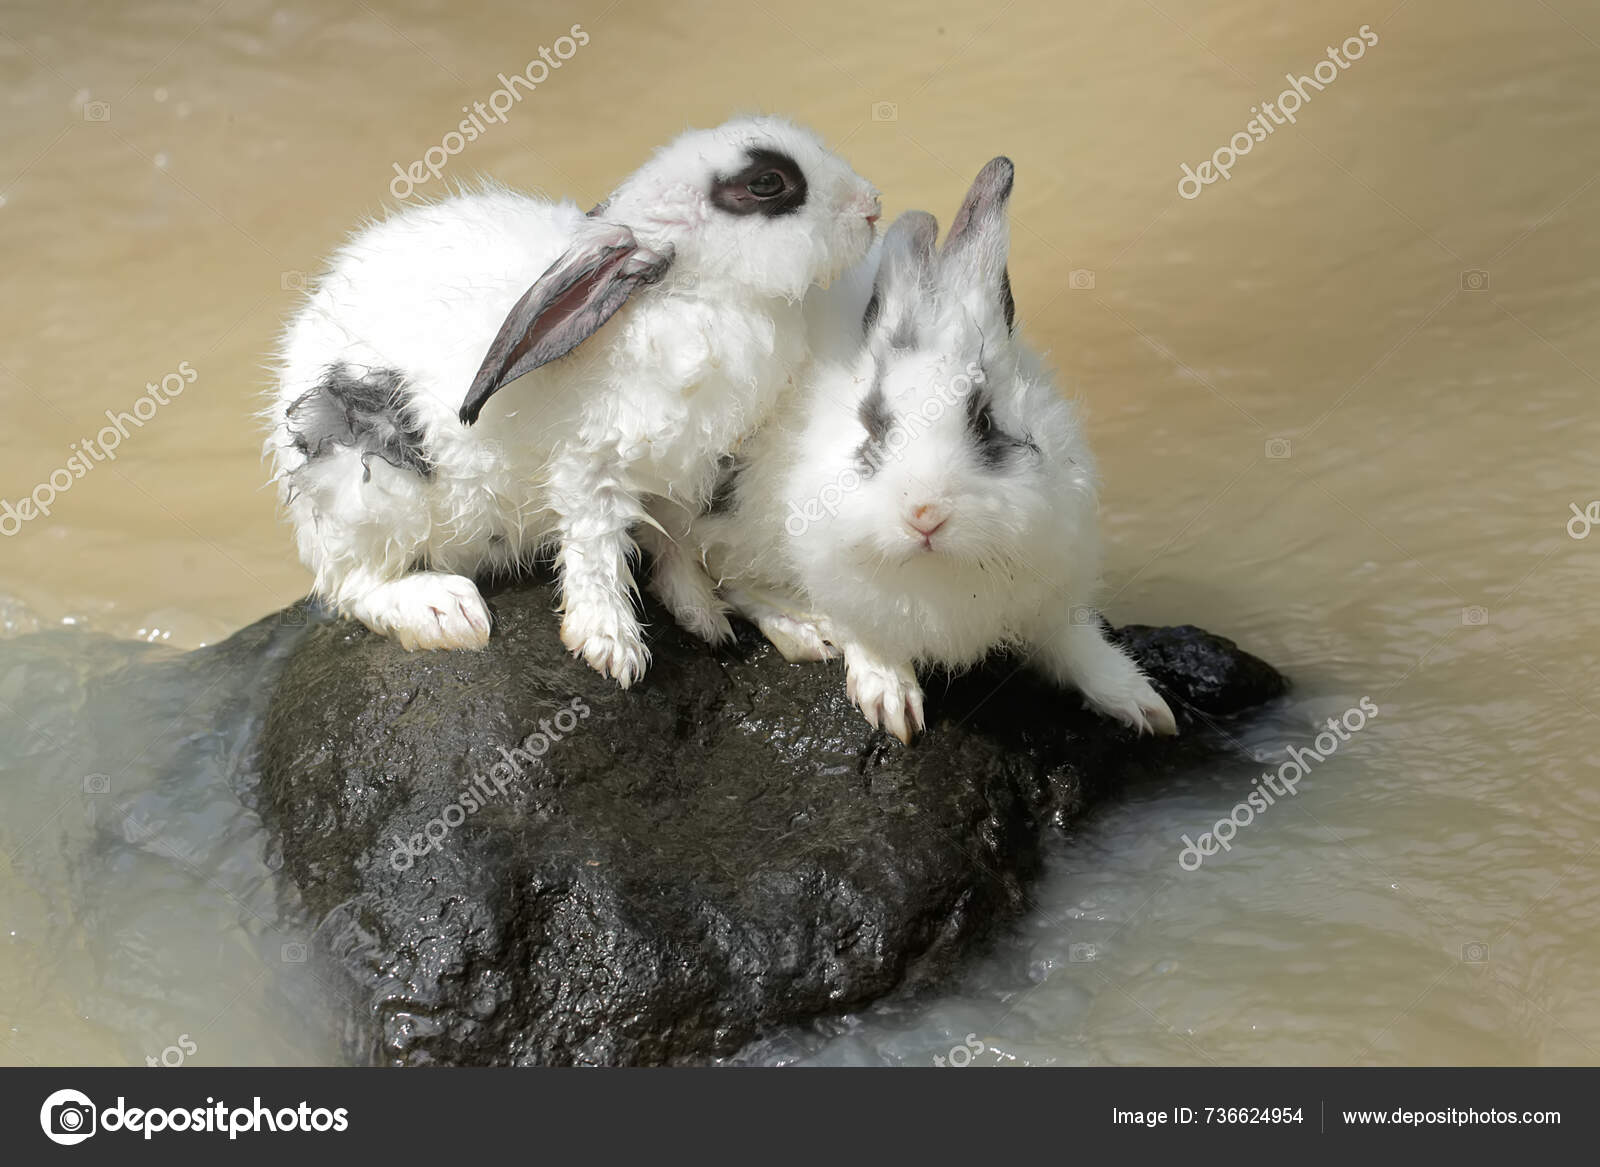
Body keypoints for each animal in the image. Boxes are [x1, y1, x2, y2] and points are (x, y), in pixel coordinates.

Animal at [263, 116, 881, 687]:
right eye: (768, 183)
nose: (873, 205)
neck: (695, 297)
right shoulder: (589, 465)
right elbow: (596, 549)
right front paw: (612, 648)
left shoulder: (685, 470)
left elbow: (675, 545)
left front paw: (704, 618)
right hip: (370, 483)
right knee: (351, 586)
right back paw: (447, 613)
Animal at [684, 158, 1177, 743]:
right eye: (873, 425)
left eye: (984, 420)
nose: (925, 515)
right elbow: (864, 634)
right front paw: (890, 700)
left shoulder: (1052, 587)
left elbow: (1074, 643)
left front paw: (1141, 703)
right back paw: (802, 631)